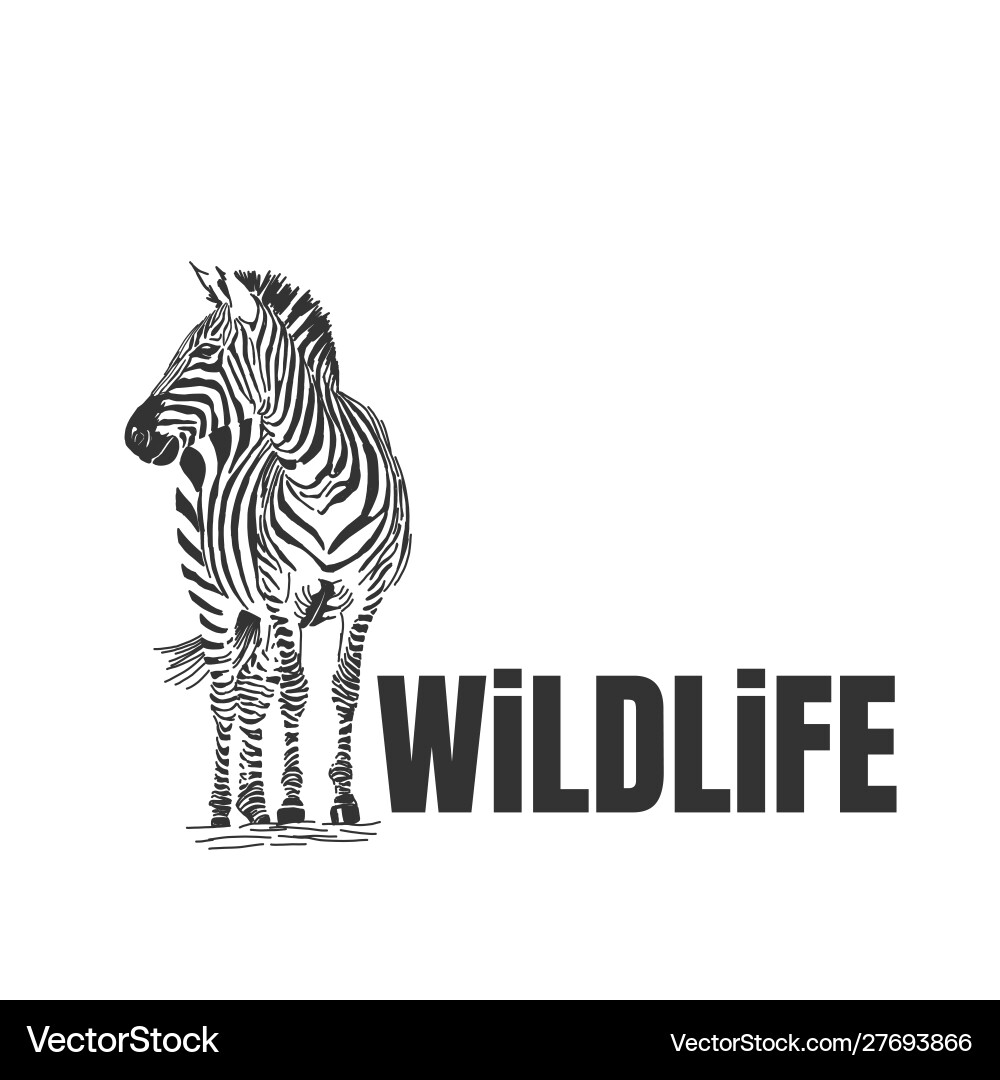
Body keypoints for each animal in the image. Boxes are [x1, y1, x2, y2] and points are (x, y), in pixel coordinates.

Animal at [125, 264, 411, 828]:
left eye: (205, 352)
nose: (134, 435)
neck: (320, 479)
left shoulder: (365, 598)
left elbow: (343, 690)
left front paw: (341, 798)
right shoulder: (281, 594)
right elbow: (294, 691)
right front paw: (294, 801)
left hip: (259, 614)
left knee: (253, 690)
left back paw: (254, 803)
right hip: (213, 596)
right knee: (225, 693)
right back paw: (223, 805)